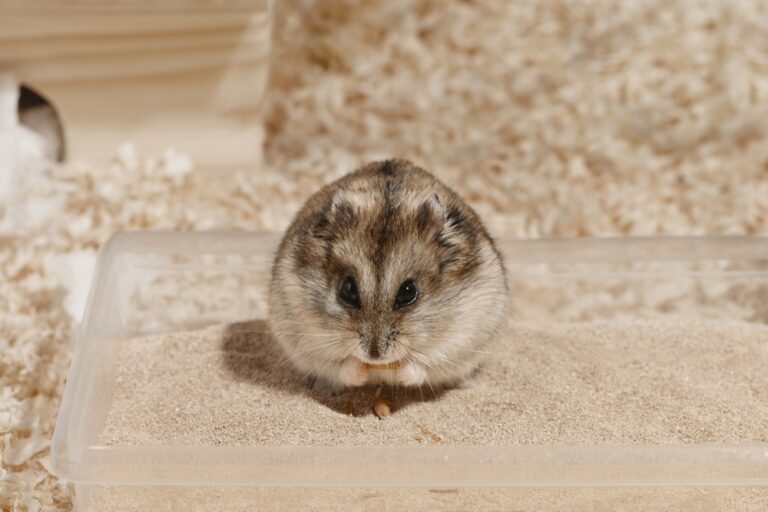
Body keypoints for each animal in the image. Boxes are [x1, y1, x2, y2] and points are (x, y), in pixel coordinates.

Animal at [269, 159, 508, 391]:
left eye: (408, 292)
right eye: (348, 289)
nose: (375, 356)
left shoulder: (459, 340)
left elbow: (420, 367)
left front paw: (398, 370)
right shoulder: (306, 341)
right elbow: (343, 367)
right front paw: (362, 370)